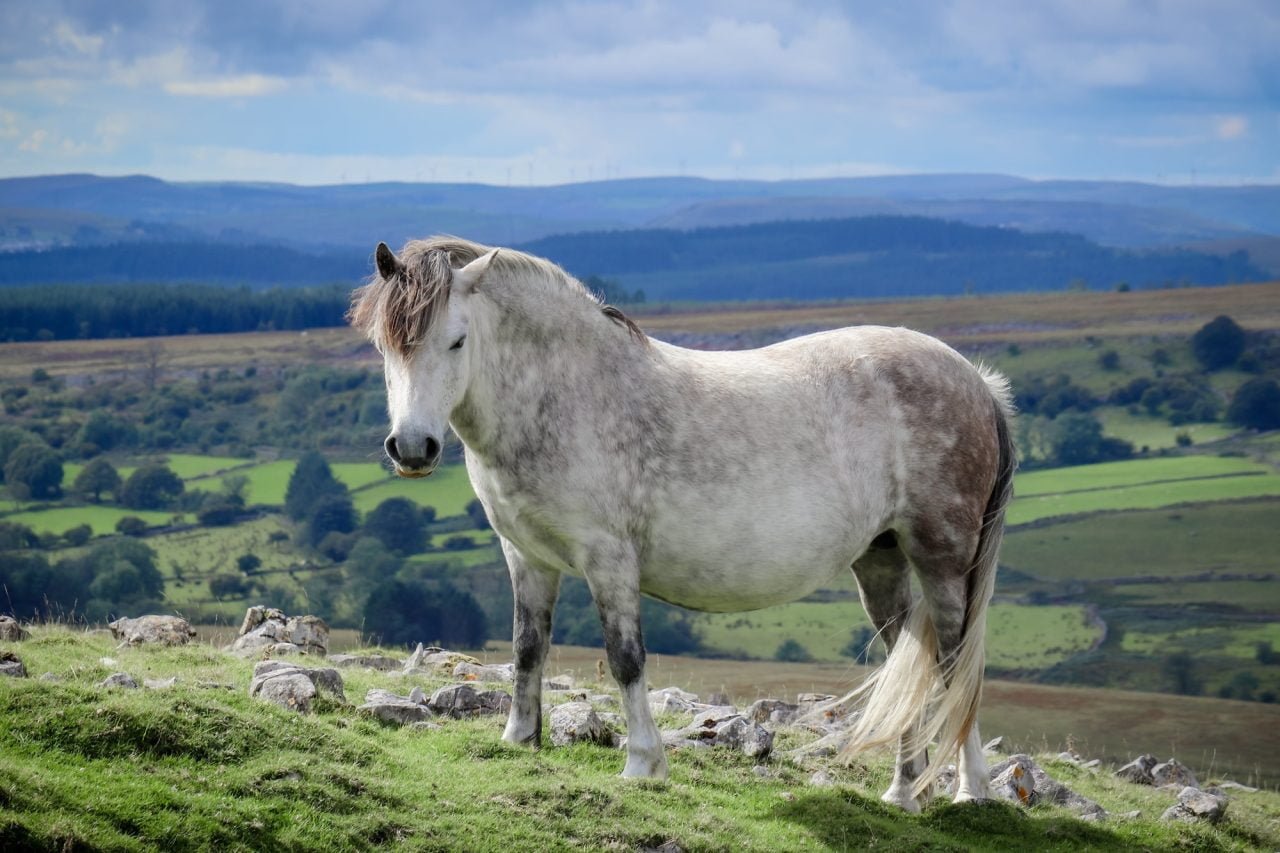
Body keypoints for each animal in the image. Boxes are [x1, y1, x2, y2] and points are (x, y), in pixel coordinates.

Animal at [348, 236, 1017, 811]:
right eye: (385, 347)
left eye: (457, 341)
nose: (412, 449)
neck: (565, 395)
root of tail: (977, 382)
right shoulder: (528, 558)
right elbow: (527, 648)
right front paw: (519, 739)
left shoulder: (609, 562)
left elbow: (626, 659)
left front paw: (644, 764)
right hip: (880, 559)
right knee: (909, 663)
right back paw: (904, 791)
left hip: (942, 558)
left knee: (954, 665)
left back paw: (970, 790)